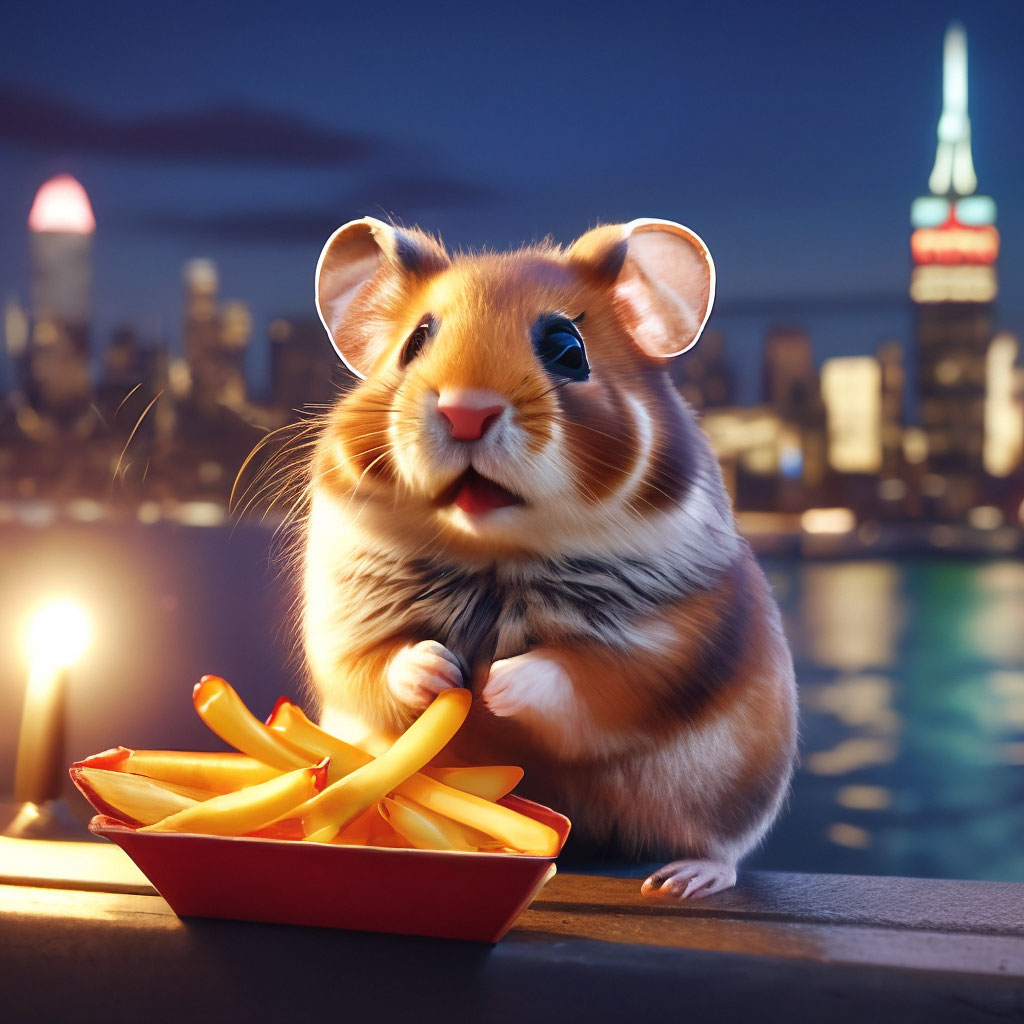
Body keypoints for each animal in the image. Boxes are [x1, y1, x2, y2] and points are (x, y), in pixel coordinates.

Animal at [301, 215, 797, 900]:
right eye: (415, 343)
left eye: (567, 349)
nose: (466, 411)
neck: (496, 558)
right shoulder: (341, 615)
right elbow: (373, 665)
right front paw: (444, 673)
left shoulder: (670, 643)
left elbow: (585, 678)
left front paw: (493, 684)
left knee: (717, 847)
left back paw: (677, 882)